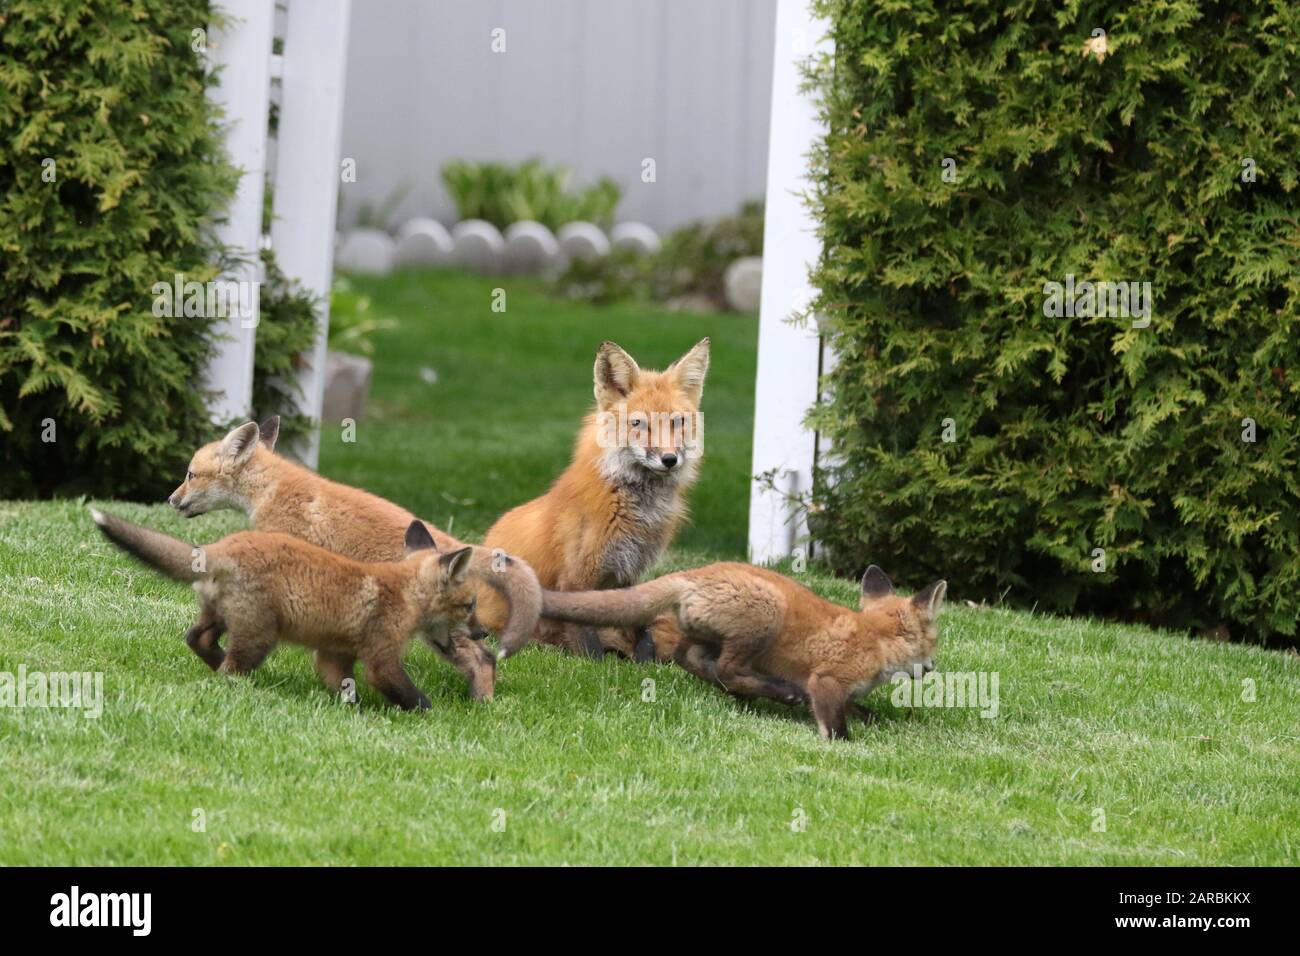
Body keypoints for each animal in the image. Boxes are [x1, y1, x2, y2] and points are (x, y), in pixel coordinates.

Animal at [90, 508, 478, 711]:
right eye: (470, 606)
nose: (482, 632)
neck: (404, 593)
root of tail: (219, 547)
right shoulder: (381, 658)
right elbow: (410, 695)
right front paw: (432, 715)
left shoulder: (333, 655)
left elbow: (345, 688)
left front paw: (351, 710)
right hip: (259, 635)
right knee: (229, 666)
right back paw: (238, 686)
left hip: (223, 617)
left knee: (196, 638)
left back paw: (222, 667)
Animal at [164, 416, 543, 697]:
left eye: (190, 475)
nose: (170, 500)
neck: (271, 490)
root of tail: (458, 544)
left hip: (442, 626)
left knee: (485, 659)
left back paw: (480, 707)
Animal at [479, 338, 710, 661]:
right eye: (639, 423)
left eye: (677, 422)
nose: (669, 459)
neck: (632, 504)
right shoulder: (577, 576)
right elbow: (588, 642)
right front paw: (597, 663)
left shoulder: (629, 572)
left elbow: (641, 629)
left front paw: (644, 662)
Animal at [541, 563, 947, 741]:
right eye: (934, 642)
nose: (932, 667)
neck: (874, 639)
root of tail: (694, 572)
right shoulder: (826, 681)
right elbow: (834, 722)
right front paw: (845, 745)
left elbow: (859, 709)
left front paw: (875, 718)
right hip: (766, 616)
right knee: (726, 669)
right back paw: (777, 692)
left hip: (706, 637)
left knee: (693, 661)